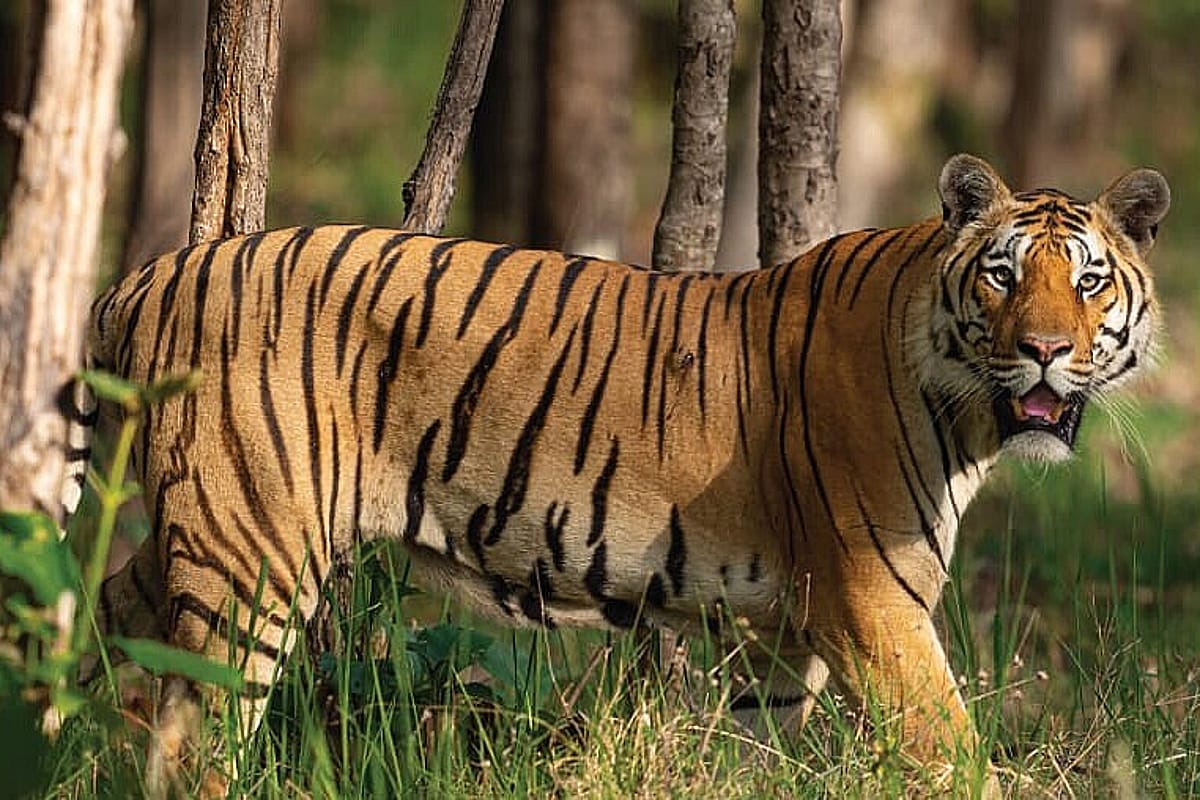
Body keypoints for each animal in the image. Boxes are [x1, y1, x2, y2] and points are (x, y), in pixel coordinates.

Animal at [69, 154, 1169, 793]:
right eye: (1002, 274)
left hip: (191, 545)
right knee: (192, 743)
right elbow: (956, 755)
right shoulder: (873, 603)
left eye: (1088, 281)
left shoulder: (778, 638)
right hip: (247, 558)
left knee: (92, 652)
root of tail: (144, 276)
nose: (1042, 350)